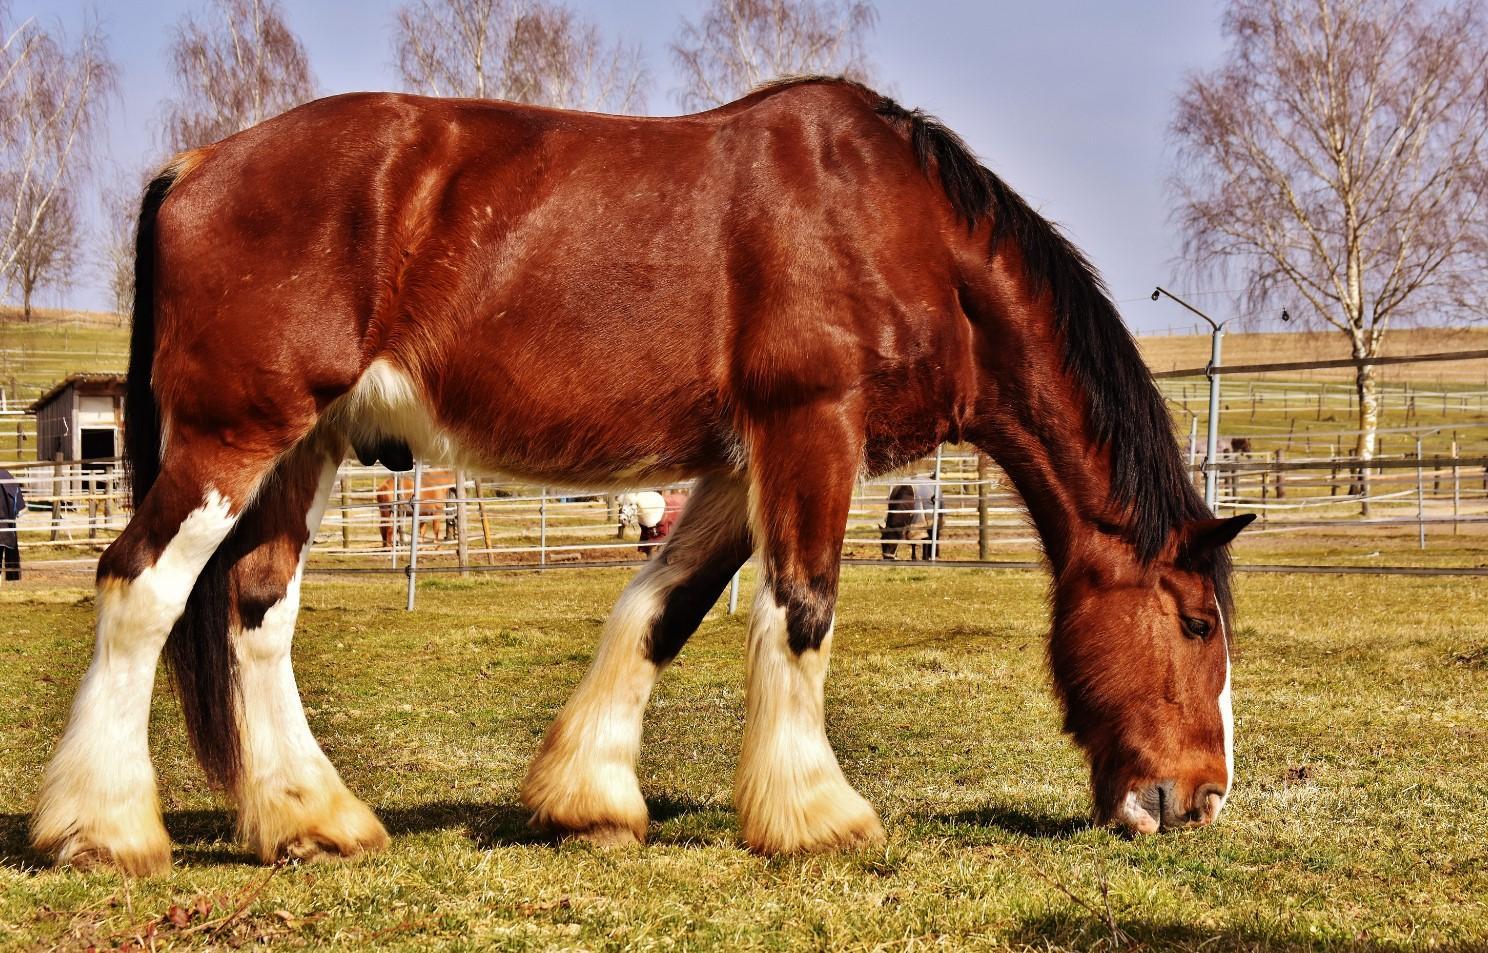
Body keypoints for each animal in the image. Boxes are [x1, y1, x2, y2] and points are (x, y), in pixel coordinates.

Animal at [31, 77, 1252, 874]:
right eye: (1195, 622)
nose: (1199, 799)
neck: (900, 231)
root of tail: (198, 166)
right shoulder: (813, 428)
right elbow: (802, 611)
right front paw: (816, 814)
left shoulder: (734, 464)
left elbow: (662, 609)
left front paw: (589, 798)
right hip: (234, 437)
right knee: (140, 587)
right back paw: (104, 829)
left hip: (306, 446)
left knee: (254, 607)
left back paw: (311, 819)